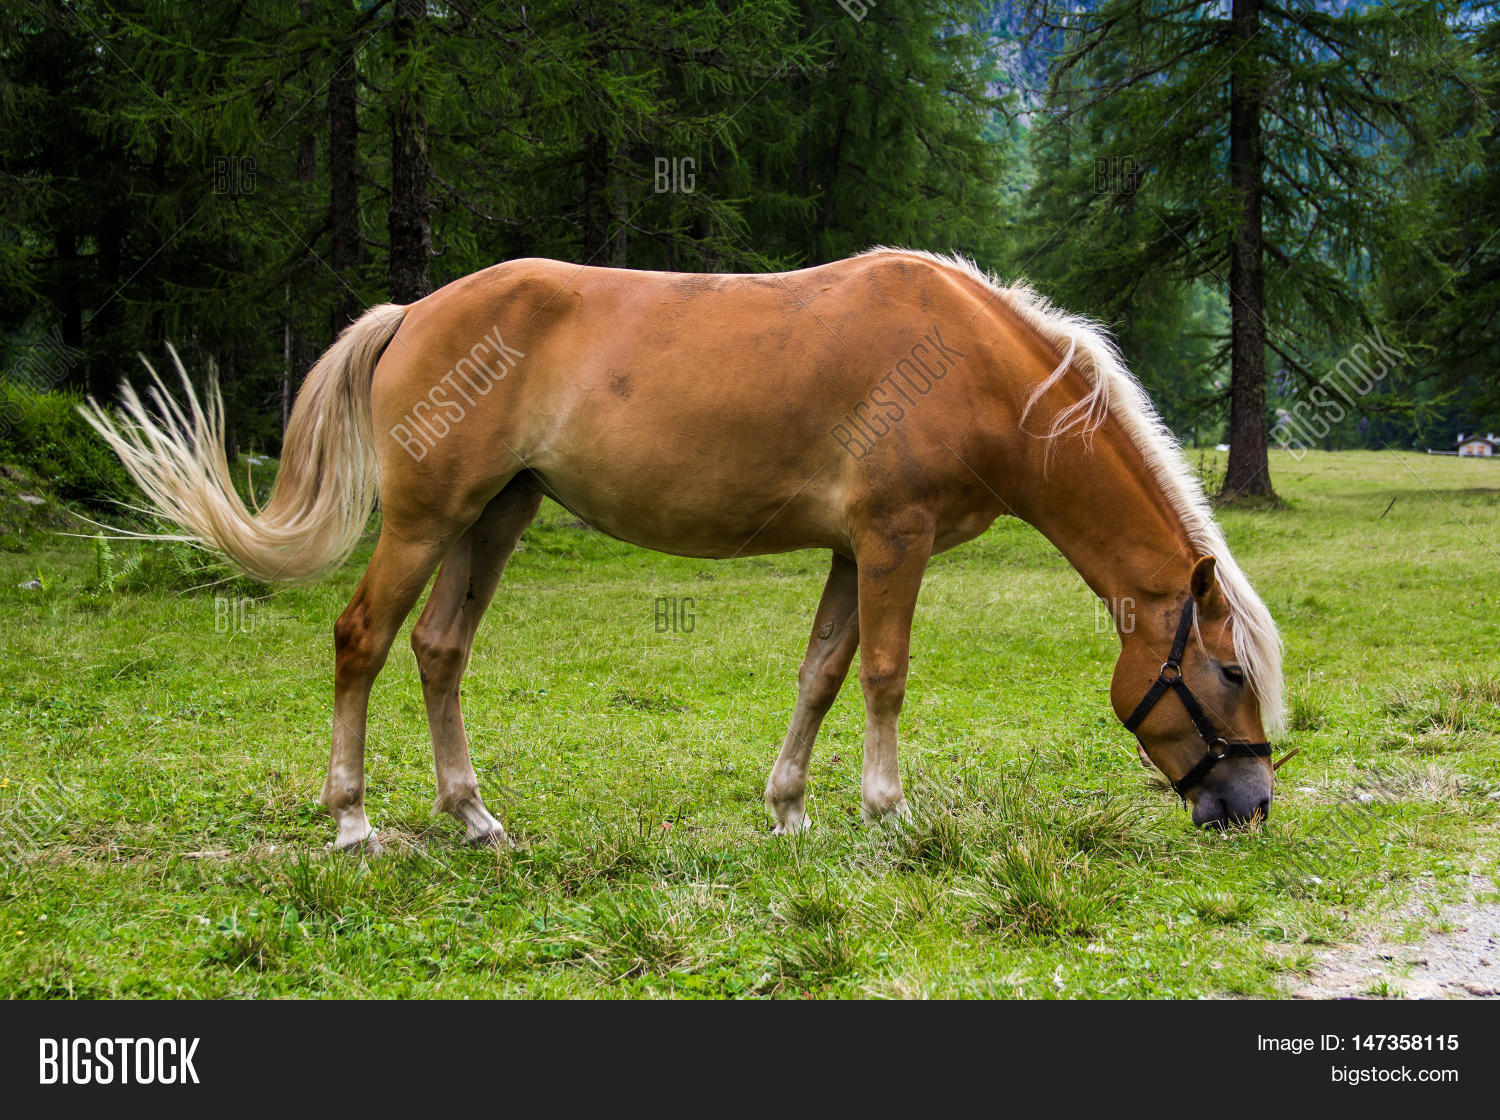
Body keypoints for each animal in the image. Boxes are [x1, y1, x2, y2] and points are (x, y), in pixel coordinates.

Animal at [83, 248, 1284, 851]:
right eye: (1228, 673)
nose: (1254, 805)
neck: (979, 367)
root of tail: (415, 310)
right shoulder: (894, 542)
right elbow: (885, 674)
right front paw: (889, 812)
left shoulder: (852, 551)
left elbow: (823, 672)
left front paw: (790, 807)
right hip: (427, 520)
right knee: (363, 639)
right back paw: (352, 821)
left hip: (496, 518)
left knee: (437, 651)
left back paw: (471, 814)